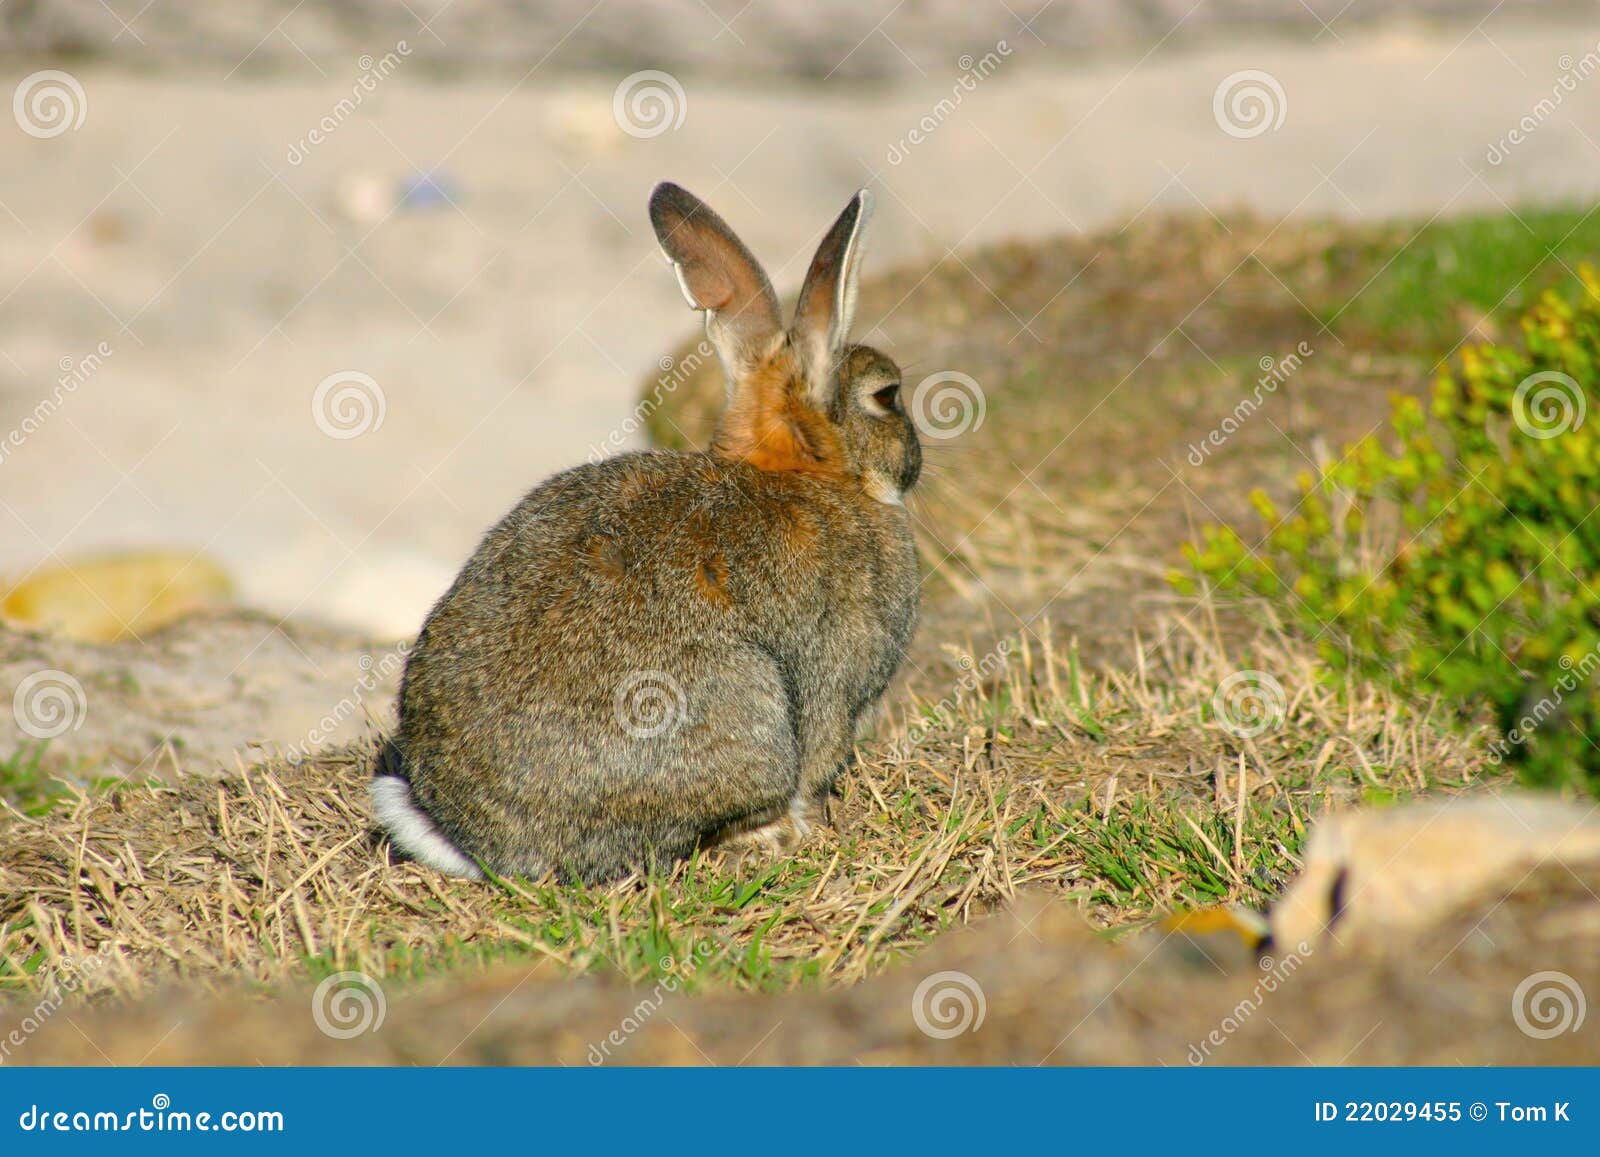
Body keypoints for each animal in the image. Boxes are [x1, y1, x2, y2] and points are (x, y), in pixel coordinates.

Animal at [371, 182, 922, 881]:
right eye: (887, 395)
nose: (916, 459)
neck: (808, 473)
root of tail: (472, 836)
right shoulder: (837, 677)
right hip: (730, 718)